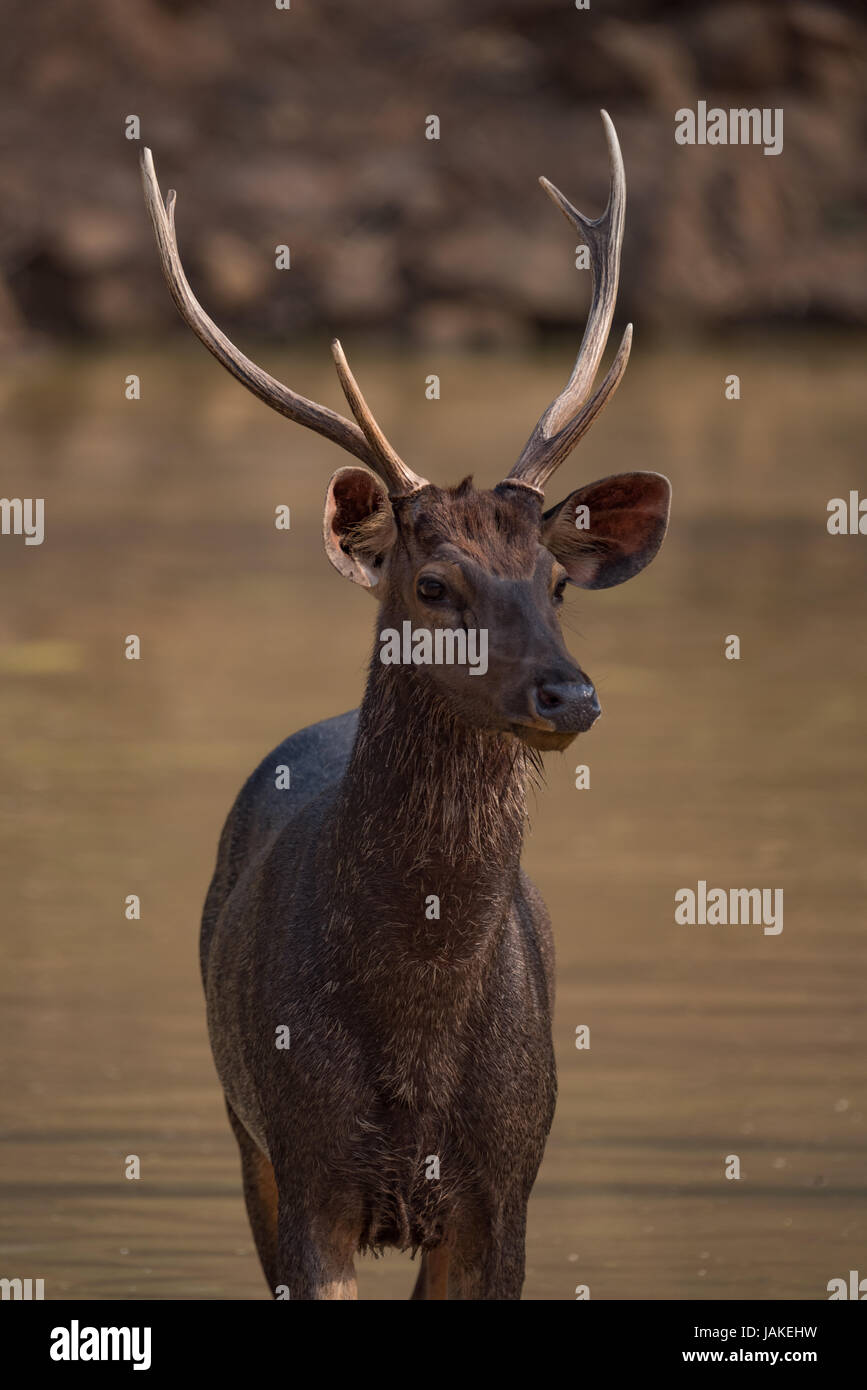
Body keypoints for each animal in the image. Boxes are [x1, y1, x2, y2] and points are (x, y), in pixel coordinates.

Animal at [140, 110, 670, 1301]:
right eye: (432, 584)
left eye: (556, 581)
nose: (569, 691)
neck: (415, 1053)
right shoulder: (304, 1166)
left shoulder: (506, 1184)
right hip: (241, 1128)